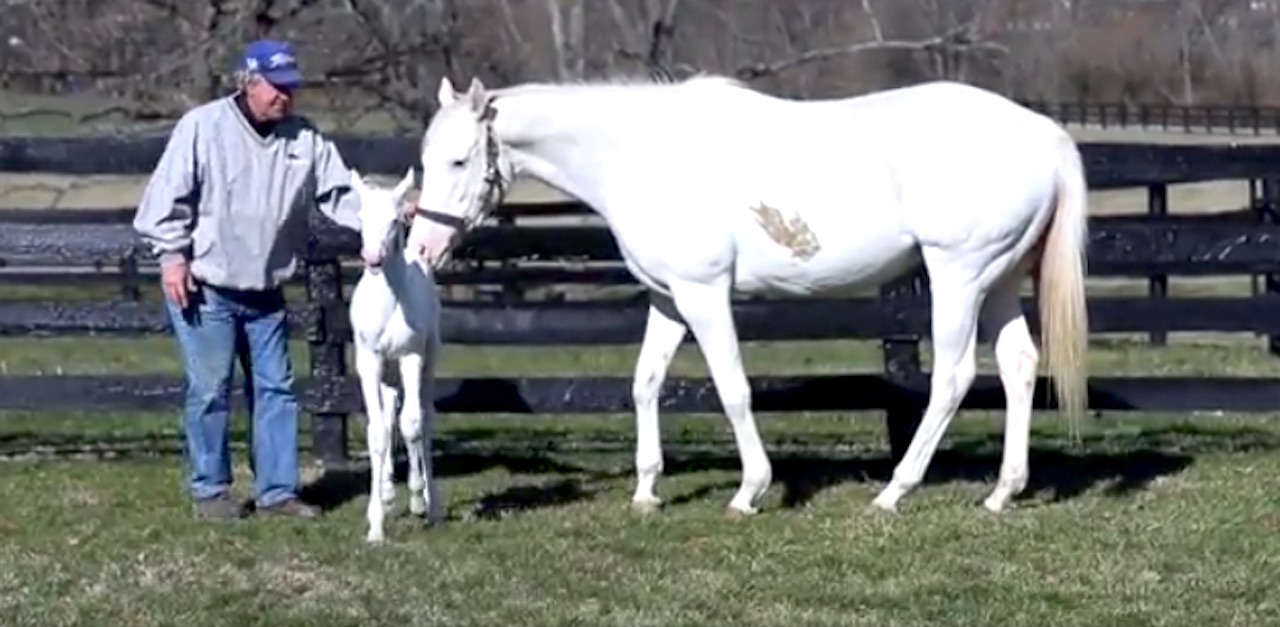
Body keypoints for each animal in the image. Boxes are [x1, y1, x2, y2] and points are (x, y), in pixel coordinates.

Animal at [347, 168, 445, 542]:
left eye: (395, 220)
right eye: (360, 217)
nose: (373, 258)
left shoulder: (410, 356)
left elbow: (413, 424)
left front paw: (419, 499)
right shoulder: (369, 360)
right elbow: (378, 430)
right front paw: (376, 524)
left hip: (429, 358)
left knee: (422, 419)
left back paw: (429, 502)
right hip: (386, 370)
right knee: (390, 410)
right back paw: (388, 491)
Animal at [405, 74, 1089, 518]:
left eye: (460, 161)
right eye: (426, 158)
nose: (421, 249)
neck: (643, 155)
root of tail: (1043, 134)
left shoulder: (705, 295)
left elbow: (732, 389)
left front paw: (749, 491)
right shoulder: (668, 300)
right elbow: (645, 384)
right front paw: (647, 491)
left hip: (958, 276)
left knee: (952, 377)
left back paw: (894, 492)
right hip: (997, 279)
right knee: (1019, 366)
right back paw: (1001, 493)